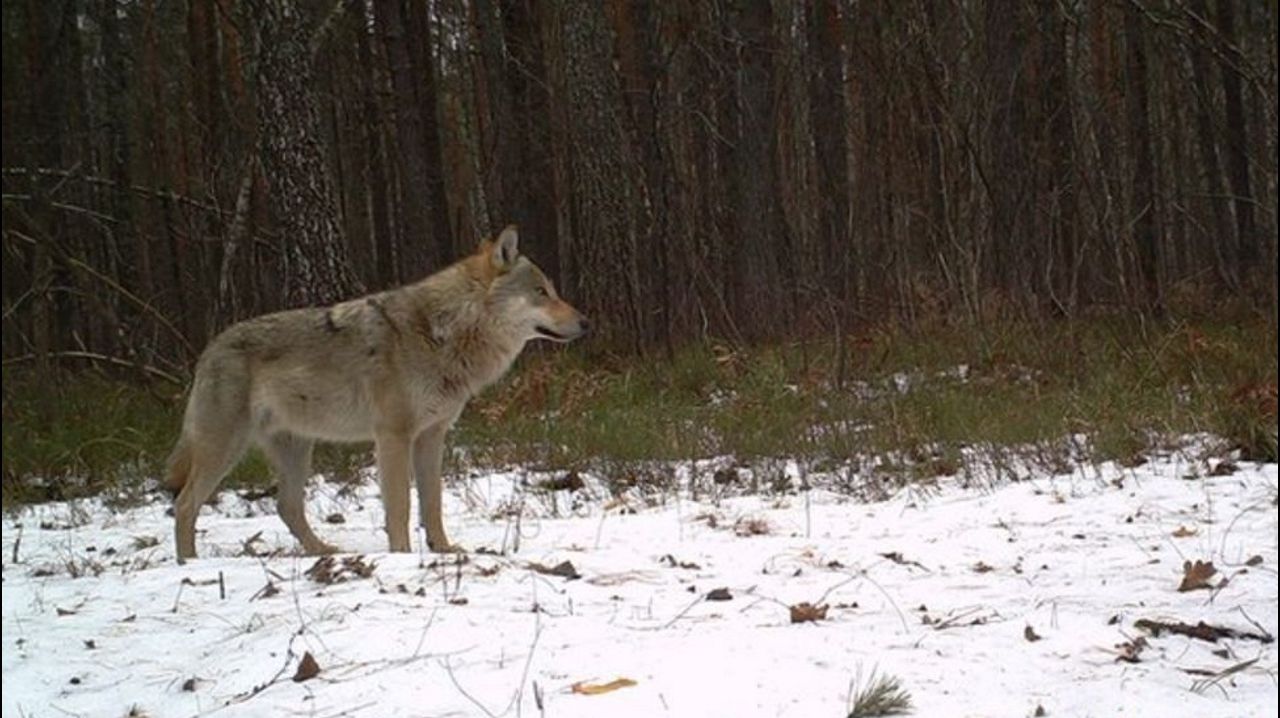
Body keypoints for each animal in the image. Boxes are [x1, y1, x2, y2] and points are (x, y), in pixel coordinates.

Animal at [165, 226, 587, 561]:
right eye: (542, 292)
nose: (586, 322)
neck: (442, 332)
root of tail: (209, 349)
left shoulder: (432, 436)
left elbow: (432, 503)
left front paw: (444, 550)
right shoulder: (393, 437)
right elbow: (400, 506)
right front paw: (401, 556)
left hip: (296, 451)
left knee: (286, 507)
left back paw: (324, 552)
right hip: (226, 448)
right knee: (185, 505)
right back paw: (190, 565)